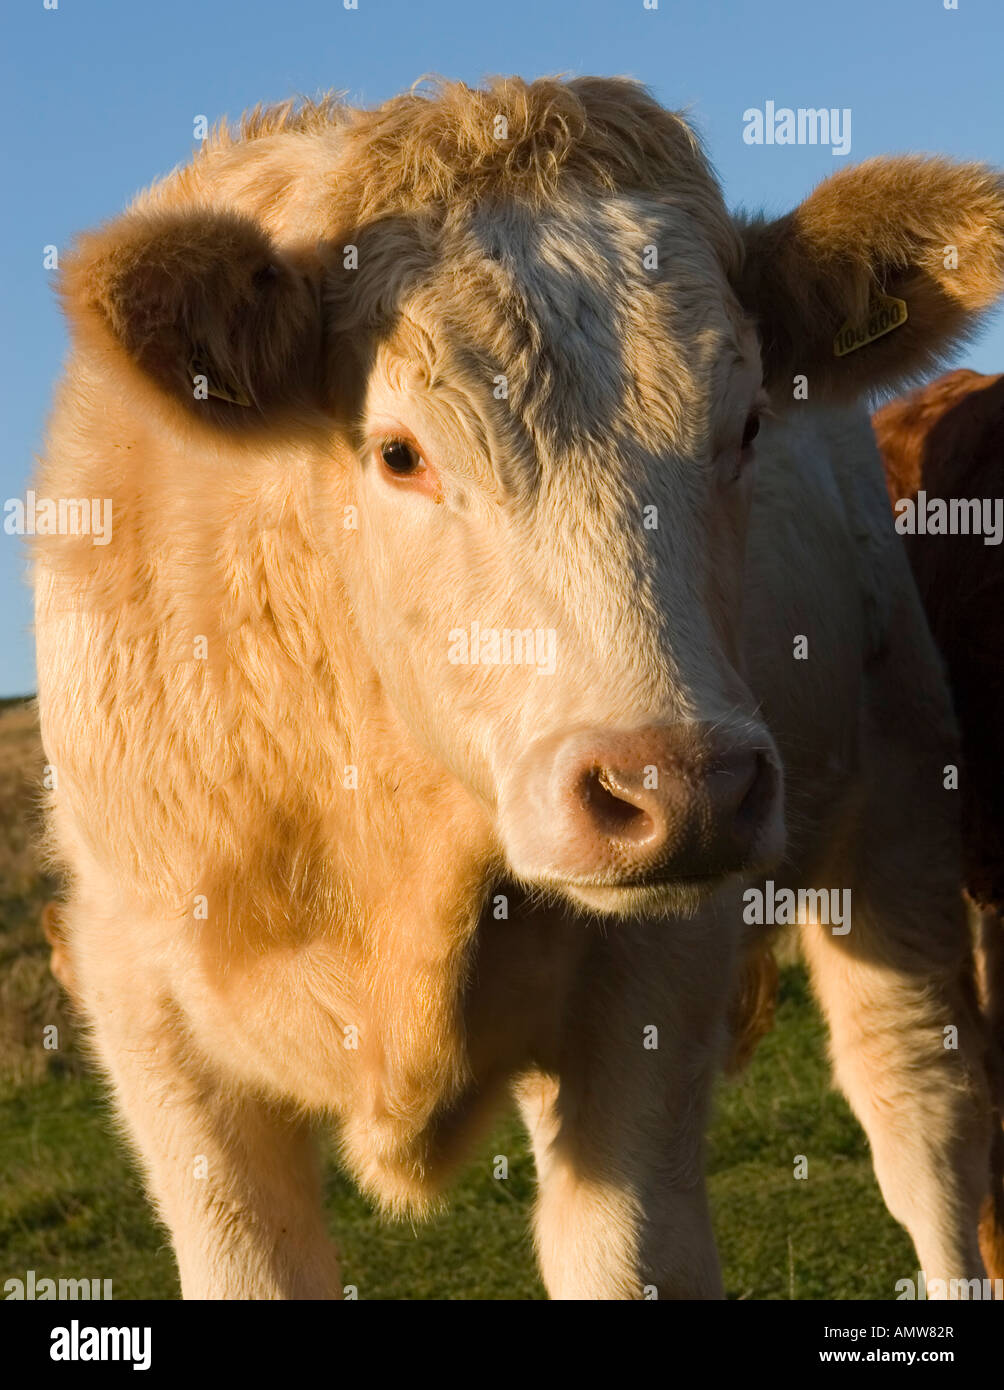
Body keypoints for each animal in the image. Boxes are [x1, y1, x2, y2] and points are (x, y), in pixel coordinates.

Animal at [33, 75, 1004, 1299]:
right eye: (399, 452)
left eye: (744, 424)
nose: (678, 788)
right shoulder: (146, 1007)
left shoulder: (654, 979)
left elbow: (624, 1256)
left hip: (896, 820)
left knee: (920, 1119)